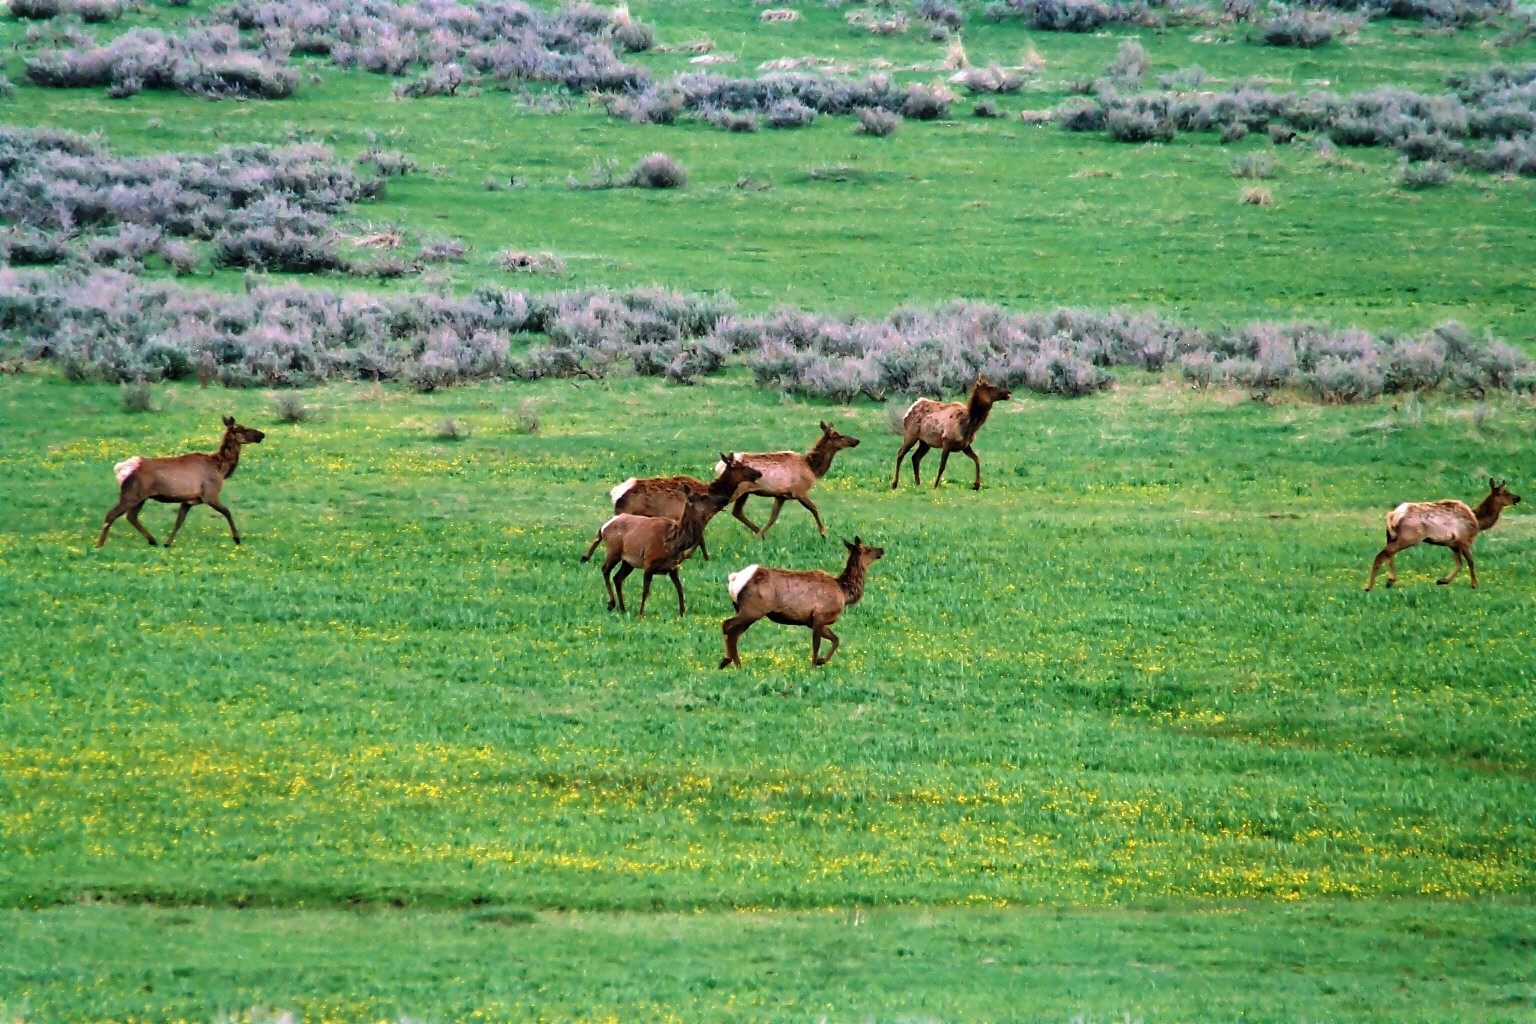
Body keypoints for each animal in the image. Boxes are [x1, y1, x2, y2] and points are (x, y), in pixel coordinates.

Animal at [96, 416, 266, 549]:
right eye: (244, 429)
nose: (262, 434)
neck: (221, 469)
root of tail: (125, 469)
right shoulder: (209, 494)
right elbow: (227, 512)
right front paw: (237, 538)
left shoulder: (188, 500)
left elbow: (179, 521)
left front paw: (167, 543)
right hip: (131, 493)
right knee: (111, 514)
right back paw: (99, 544)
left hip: (140, 497)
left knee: (131, 516)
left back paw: (152, 540)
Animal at [581, 454, 762, 617]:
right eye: (740, 466)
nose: (758, 473)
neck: (711, 490)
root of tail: (616, 493)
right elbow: (701, 540)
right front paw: (702, 558)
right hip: (626, 513)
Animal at [720, 536, 884, 669]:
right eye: (868, 548)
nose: (882, 550)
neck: (844, 592)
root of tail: (733, 578)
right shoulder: (820, 615)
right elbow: (816, 643)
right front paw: (814, 665)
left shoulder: (811, 621)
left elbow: (836, 639)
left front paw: (821, 661)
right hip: (753, 609)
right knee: (727, 625)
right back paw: (729, 661)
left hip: (745, 610)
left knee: (734, 632)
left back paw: (732, 662)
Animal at [721, 421, 861, 540]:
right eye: (839, 436)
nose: (857, 440)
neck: (812, 468)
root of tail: (720, 465)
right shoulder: (799, 491)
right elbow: (814, 509)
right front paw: (823, 534)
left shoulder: (781, 495)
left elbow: (773, 517)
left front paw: (760, 535)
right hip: (736, 491)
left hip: (745, 492)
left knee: (737, 512)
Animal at [1365, 479, 1521, 591]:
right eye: (1505, 492)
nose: (1518, 497)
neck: (1479, 521)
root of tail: (1391, 516)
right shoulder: (1464, 539)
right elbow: (1470, 561)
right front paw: (1474, 584)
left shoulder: (1452, 544)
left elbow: (1459, 564)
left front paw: (1442, 580)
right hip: (1409, 537)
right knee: (1383, 554)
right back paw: (1369, 586)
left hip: (1392, 536)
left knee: (1388, 554)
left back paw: (1390, 581)